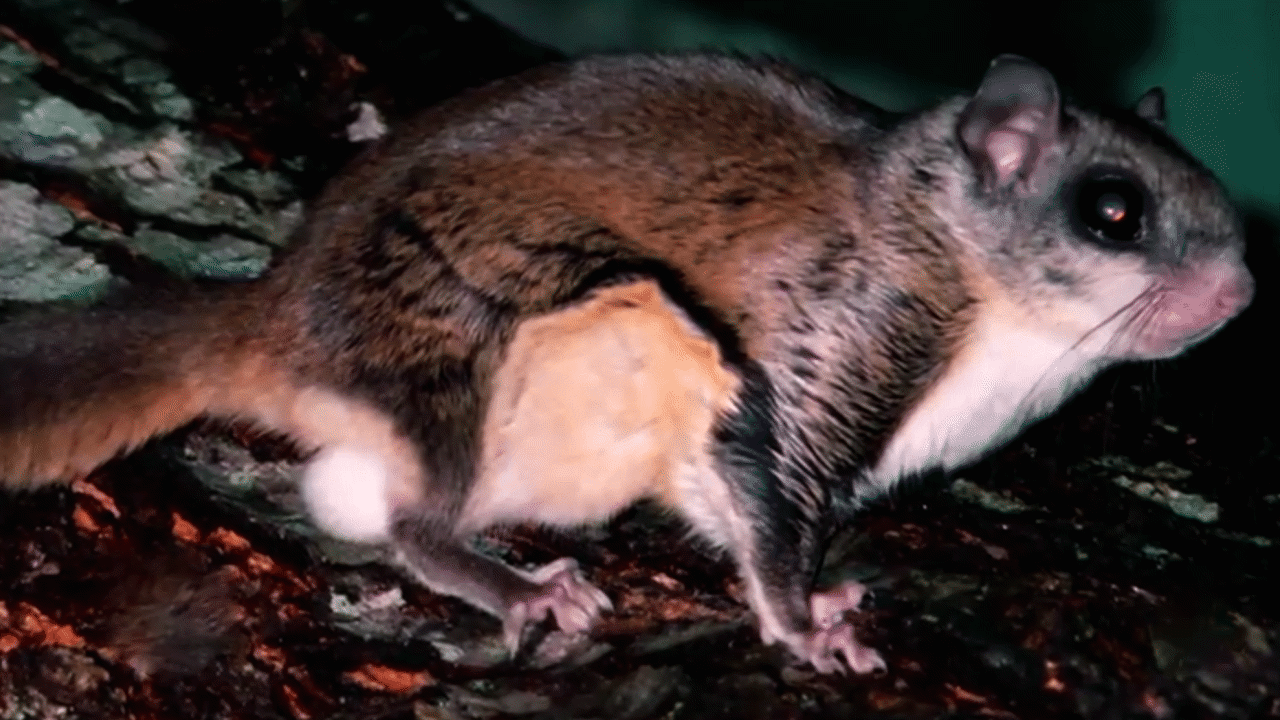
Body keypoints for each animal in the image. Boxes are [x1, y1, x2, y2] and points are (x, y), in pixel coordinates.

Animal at [0, 53, 1253, 674]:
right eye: (1111, 211)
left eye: (1208, 183)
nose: (1239, 292)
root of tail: (274, 320)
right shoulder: (829, 343)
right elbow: (765, 496)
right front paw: (806, 623)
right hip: (460, 333)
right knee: (410, 521)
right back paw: (513, 585)